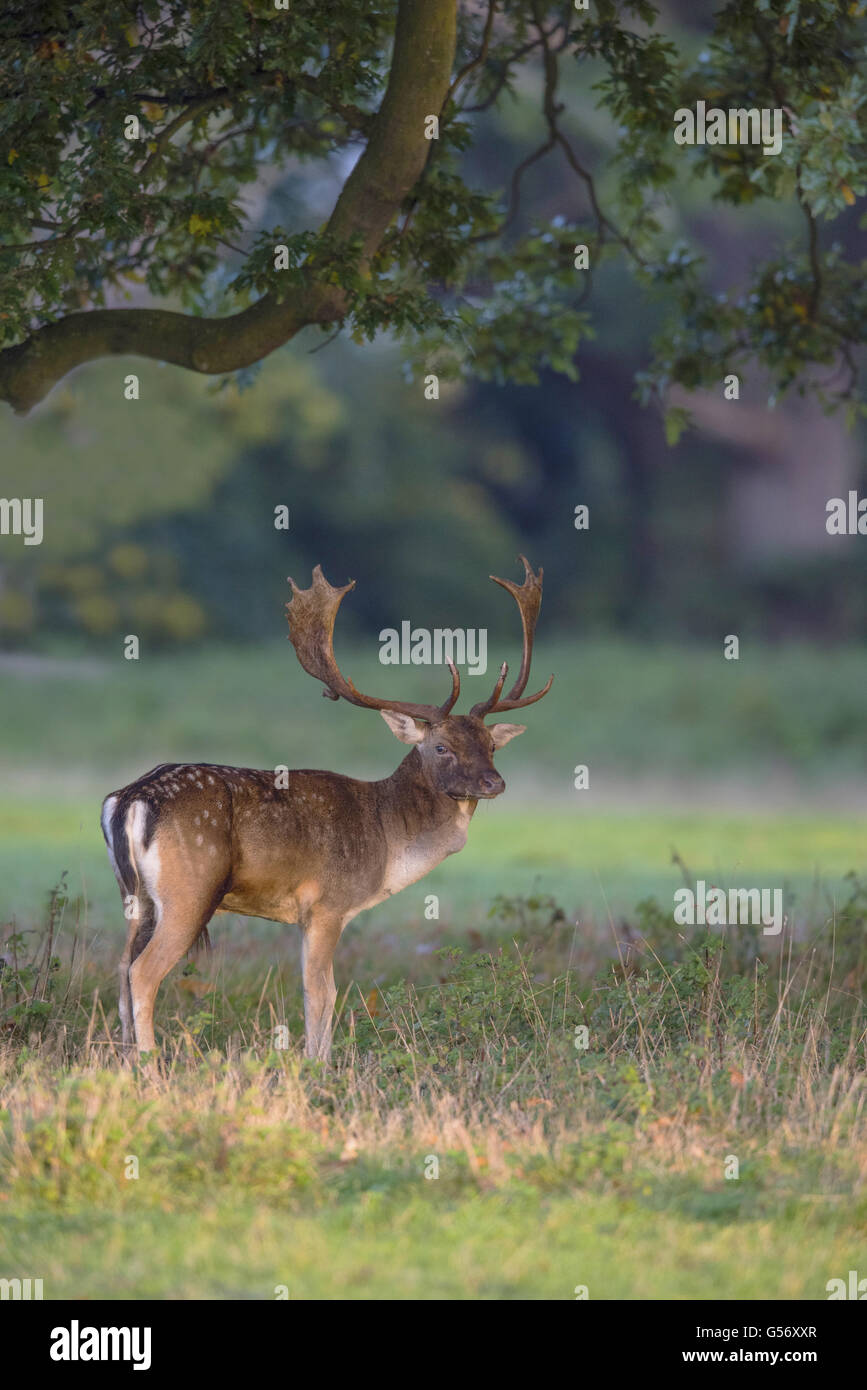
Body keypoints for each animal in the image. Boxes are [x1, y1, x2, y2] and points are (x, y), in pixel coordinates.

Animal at [101, 556, 553, 1062]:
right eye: (441, 747)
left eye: (491, 744)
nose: (494, 782)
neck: (386, 838)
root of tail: (128, 799)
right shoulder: (327, 904)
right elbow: (322, 991)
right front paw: (318, 1063)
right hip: (189, 890)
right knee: (142, 972)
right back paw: (149, 1065)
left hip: (135, 897)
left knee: (120, 967)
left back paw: (123, 1059)